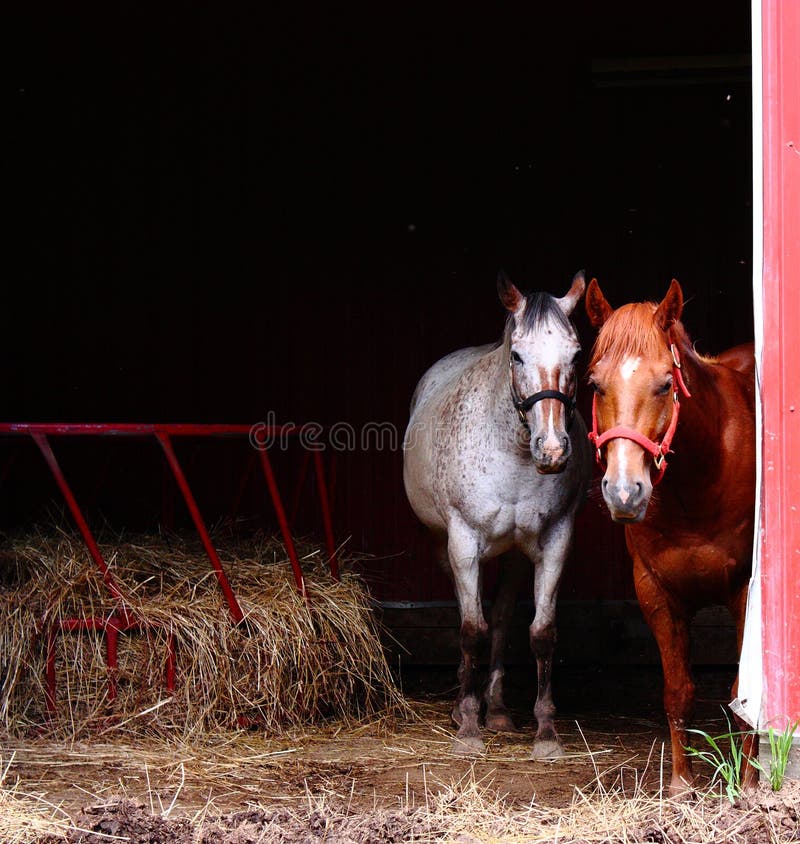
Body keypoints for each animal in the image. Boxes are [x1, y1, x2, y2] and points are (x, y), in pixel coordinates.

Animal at [403, 271, 592, 758]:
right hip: (446, 545)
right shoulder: (463, 541)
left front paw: (546, 733)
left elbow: (541, 632)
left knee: (504, 617)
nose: (552, 450)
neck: (513, 452)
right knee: (467, 613)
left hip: (513, 554)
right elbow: (472, 628)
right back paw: (462, 706)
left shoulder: (556, 540)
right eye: (518, 354)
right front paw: (469, 727)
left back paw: (500, 709)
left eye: (576, 354)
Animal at [584, 277, 756, 796]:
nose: (624, 492)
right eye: (595, 385)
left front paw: (750, 785)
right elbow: (678, 691)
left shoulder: (745, 591)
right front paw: (682, 786)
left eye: (665, 384)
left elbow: (744, 694)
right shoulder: (656, 592)